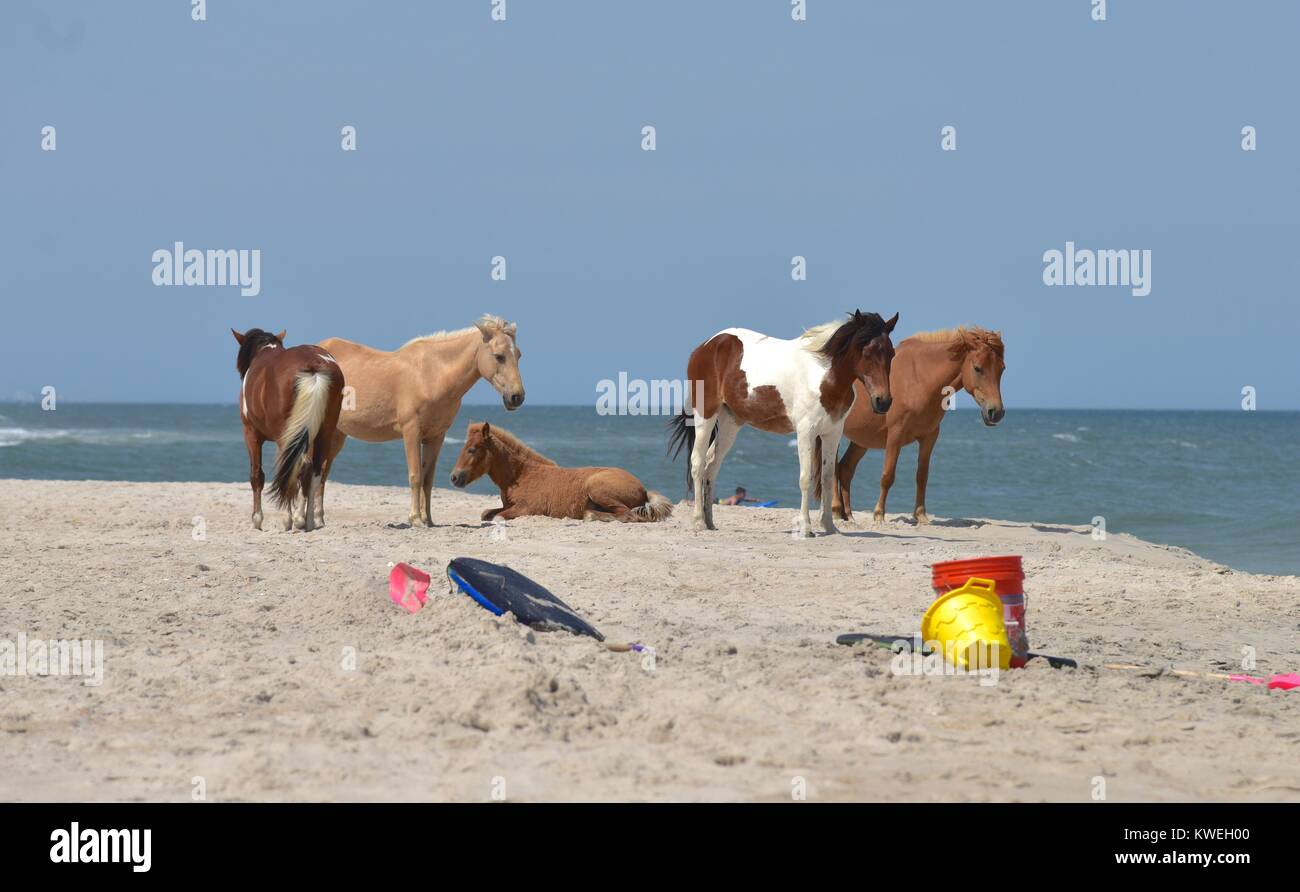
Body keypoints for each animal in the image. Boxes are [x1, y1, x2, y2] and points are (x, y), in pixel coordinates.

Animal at [232, 328, 345, 532]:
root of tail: (313, 365)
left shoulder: (251, 434)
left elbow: (257, 475)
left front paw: (257, 520)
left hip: (287, 436)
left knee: (293, 469)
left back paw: (291, 519)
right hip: (324, 432)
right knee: (314, 471)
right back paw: (308, 521)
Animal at [316, 315, 524, 527]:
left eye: (518, 355)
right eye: (499, 356)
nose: (517, 397)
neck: (431, 376)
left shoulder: (436, 437)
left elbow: (427, 479)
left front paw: (428, 520)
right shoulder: (411, 432)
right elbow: (416, 476)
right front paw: (415, 519)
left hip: (336, 435)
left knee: (322, 473)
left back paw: (318, 519)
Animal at [449, 422, 673, 523]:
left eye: (472, 449)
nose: (454, 477)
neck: (522, 475)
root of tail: (643, 489)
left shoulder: (527, 508)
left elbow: (498, 517)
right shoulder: (506, 506)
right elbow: (486, 513)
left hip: (598, 488)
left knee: (627, 515)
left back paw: (590, 515)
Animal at [668, 309, 899, 536]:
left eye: (891, 354)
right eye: (866, 352)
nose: (883, 401)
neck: (823, 376)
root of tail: (707, 345)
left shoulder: (832, 433)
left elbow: (826, 477)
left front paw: (829, 526)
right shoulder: (805, 432)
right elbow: (806, 478)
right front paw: (806, 527)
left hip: (729, 423)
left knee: (711, 465)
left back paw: (710, 521)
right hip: (705, 415)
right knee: (697, 463)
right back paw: (698, 521)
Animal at [826, 326, 1005, 523]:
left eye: (1002, 369)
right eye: (977, 368)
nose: (996, 412)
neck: (919, 379)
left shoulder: (929, 437)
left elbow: (922, 476)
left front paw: (921, 515)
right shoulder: (895, 434)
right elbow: (888, 475)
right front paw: (879, 514)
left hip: (862, 440)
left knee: (845, 469)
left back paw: (848, 515)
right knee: (833, 470)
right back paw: (835, 511)